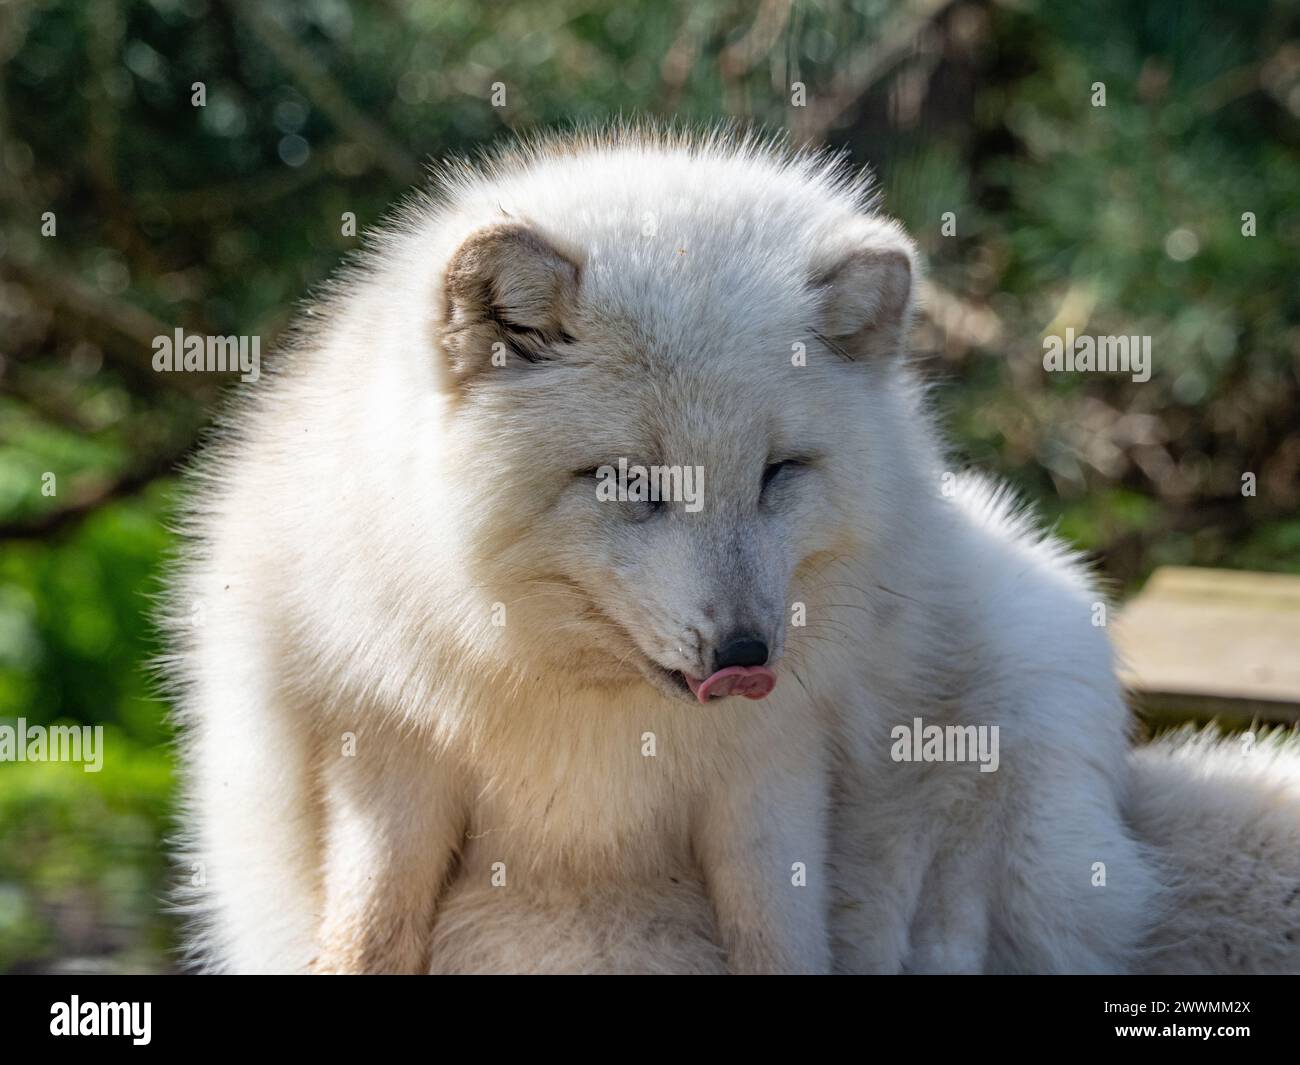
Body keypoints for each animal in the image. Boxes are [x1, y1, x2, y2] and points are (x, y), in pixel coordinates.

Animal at [163, 126, 1300, 974]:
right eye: (631, 483)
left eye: (778, 472)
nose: (747, 654)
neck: (583, 716)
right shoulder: (389, 756)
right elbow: (366, 936)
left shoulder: (771, 772)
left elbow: (778, 940)